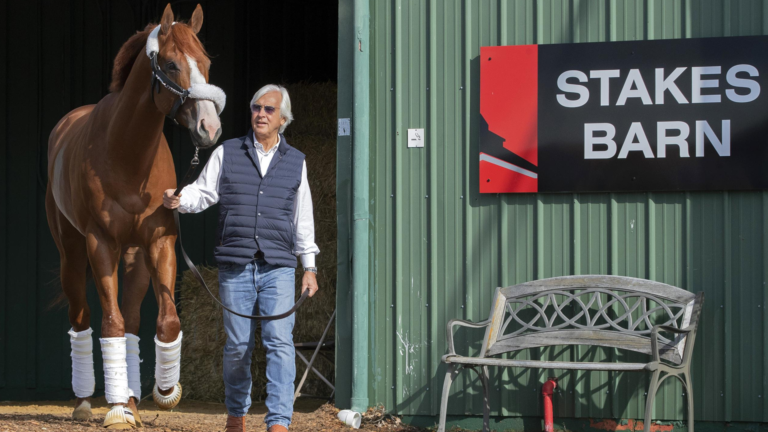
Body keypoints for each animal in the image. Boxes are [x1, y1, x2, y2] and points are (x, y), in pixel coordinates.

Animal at [45, 4, 224, 429]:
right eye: (172, 64)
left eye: (206, 62)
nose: (210, 128)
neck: (126, 153)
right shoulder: (101, 244)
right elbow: (109, 323)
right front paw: (115, 411)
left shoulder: (160, 243)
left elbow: (166, 322)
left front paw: (164, 390)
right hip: (72, 255)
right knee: (82, 318)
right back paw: (87, 402)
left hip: (135, 258)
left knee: (130, 322)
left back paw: (130, 398)